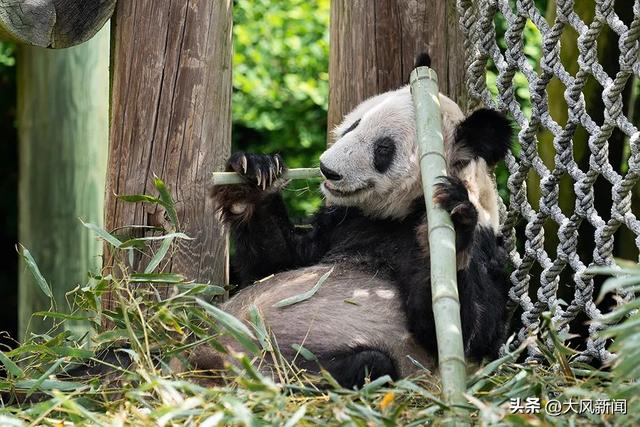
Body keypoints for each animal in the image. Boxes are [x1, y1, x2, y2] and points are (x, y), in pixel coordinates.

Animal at [200, 62, 513, 389]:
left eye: (384, 149)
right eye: (355, 125)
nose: (328, 170)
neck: (399, 213)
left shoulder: (484, 245)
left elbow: (469, 331)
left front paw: (455, 217)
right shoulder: (343, 221)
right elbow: (274, 264)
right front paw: (253, 174)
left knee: (370, 364)